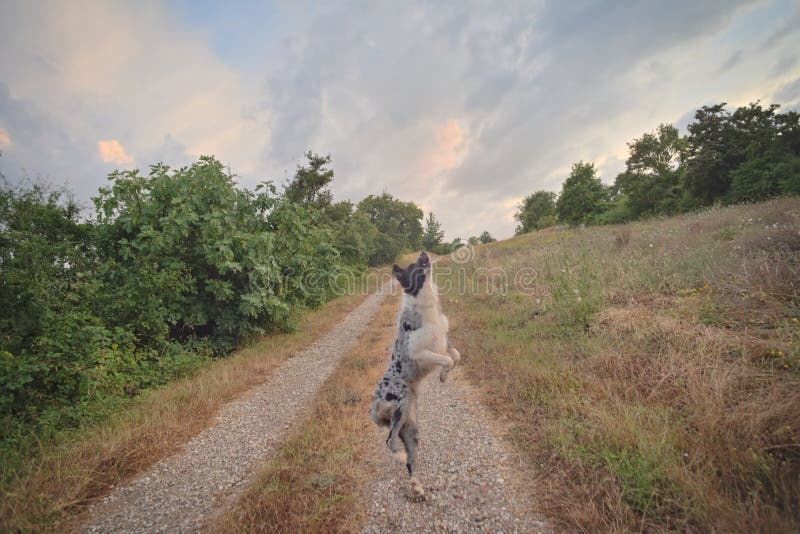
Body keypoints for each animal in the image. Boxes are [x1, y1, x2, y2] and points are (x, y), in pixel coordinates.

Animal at [370, 252, 462, 498]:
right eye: (412, 266)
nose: (423, 253)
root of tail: (373, 405)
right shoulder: (422, 354)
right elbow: (448, 360)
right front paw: (443, 376)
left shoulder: (444, 340)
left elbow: (456, 355)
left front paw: (445, 375)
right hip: (400, 402)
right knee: (389, 441)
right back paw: (399, 457)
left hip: (411, 429)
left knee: (410, 461)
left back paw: (416, 486)